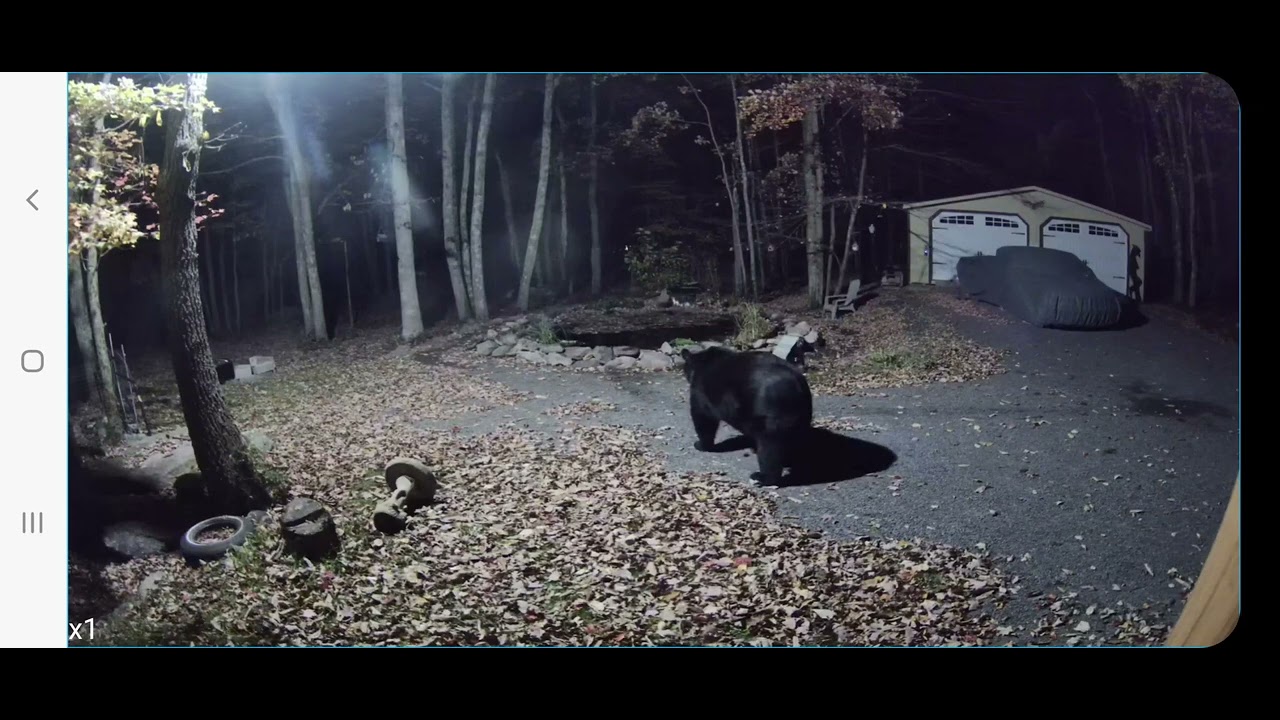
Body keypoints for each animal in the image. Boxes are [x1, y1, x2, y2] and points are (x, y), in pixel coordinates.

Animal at [679, 345, 813, 485]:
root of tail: (796, 385)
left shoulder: (700, 398)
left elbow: (704, 423)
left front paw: (701, 445)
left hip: (772, 422)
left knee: (770, 450)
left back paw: (763, 477)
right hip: (801, 419)